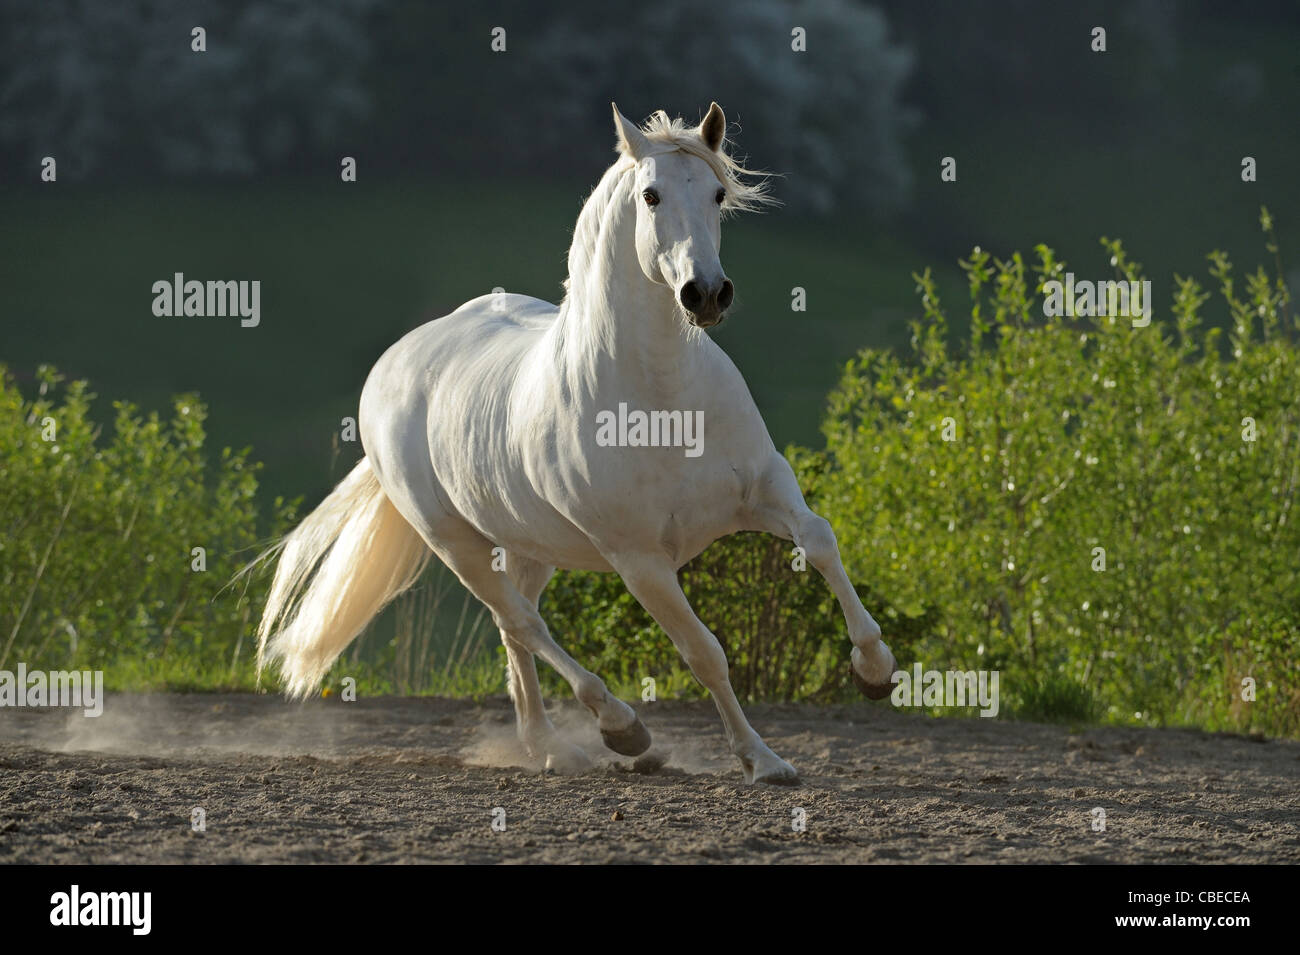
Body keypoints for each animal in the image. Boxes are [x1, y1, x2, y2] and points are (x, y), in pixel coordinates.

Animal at [254, 102, 898, 784]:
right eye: (650, 195)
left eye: (718, 193)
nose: (706, 294)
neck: (662, 399)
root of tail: (394, 363)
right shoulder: (640, 561)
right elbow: (704, 652)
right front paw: (763, 760)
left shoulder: (765, 491)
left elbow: (820, 540)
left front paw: (875, 670)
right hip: (454, 543)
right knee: (521, 621)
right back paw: (616, 730)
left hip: (529, 546)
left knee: (514, 630)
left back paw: (548, 746)